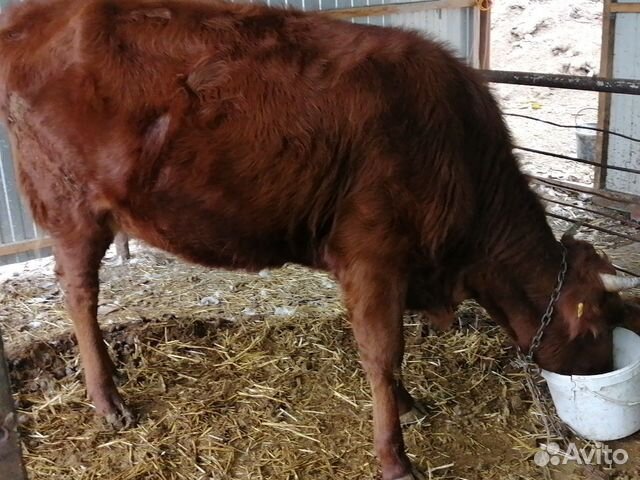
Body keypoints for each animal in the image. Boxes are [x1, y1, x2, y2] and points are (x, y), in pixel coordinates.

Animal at [1, 1, 640, 478]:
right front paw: (395, 456)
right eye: (599, 329)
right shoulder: (373, 252)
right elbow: (383, 353)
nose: (606, 370)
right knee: (80, 295)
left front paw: (408, 406)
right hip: (72, 206)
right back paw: (108, 401)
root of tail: (37, 15)